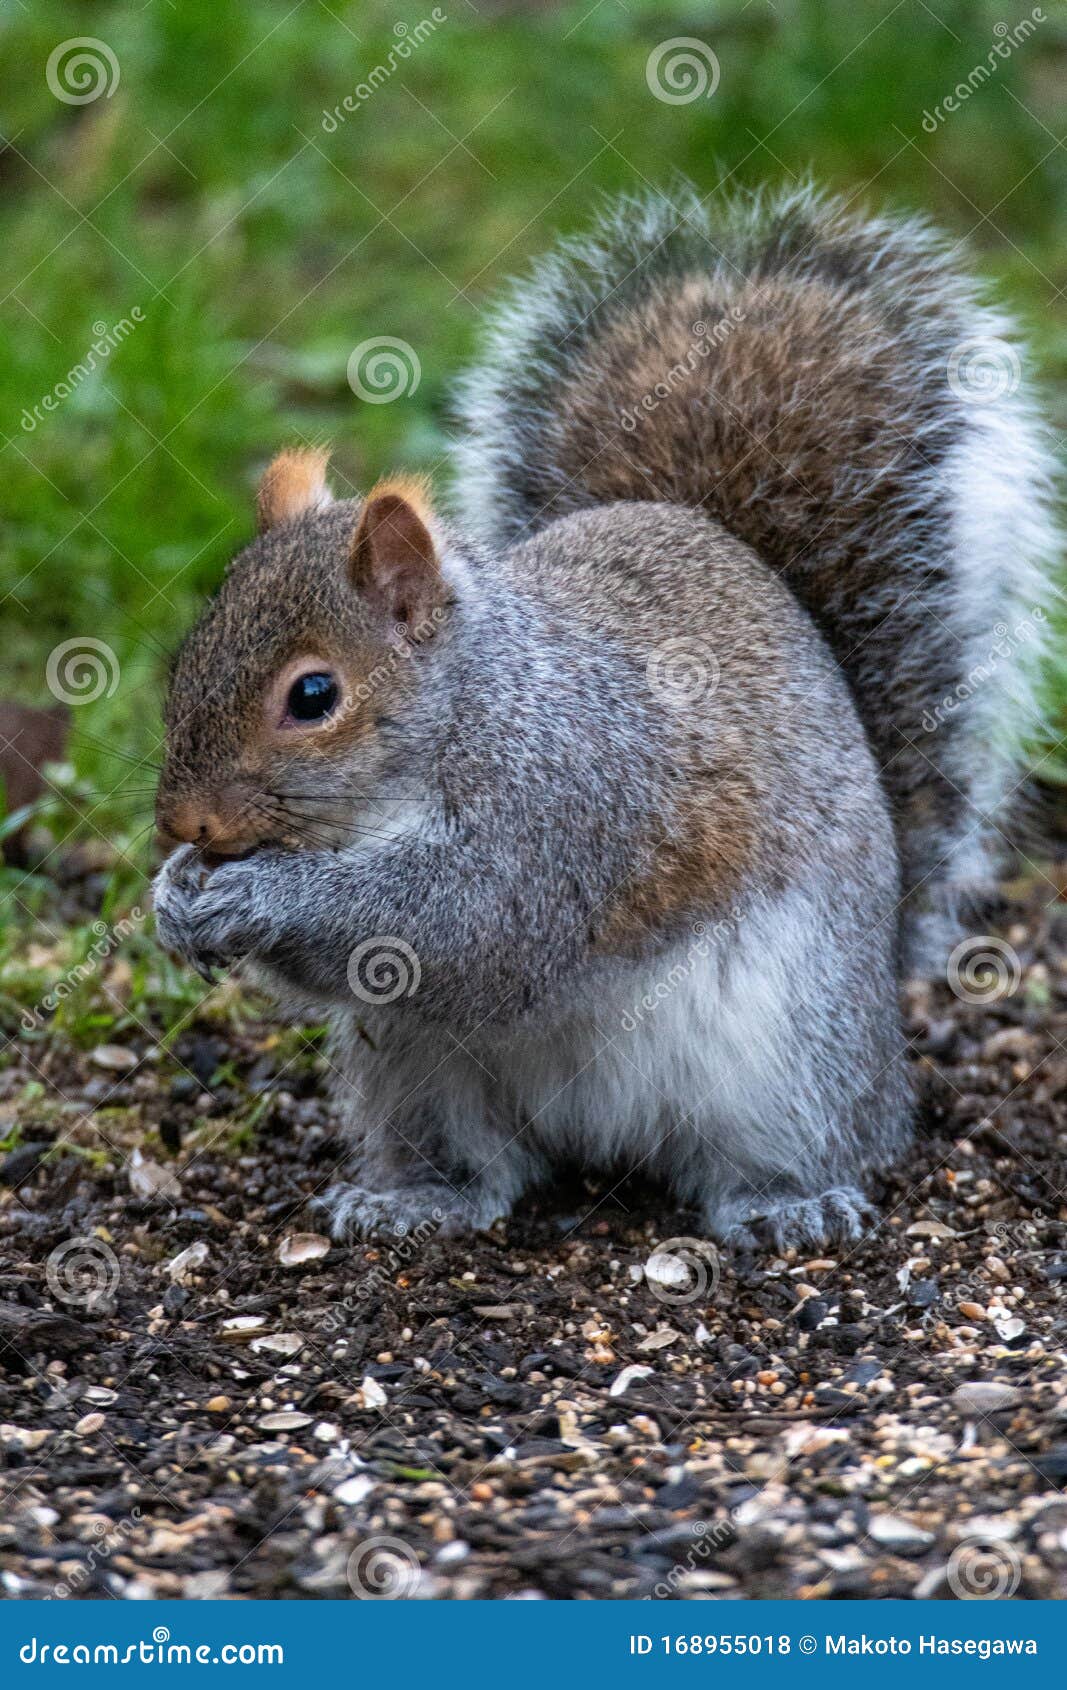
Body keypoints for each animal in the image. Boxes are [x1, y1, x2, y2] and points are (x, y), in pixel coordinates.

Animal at [153, 183, 1057, 1251]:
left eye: (312, 696)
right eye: (187, 651)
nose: (182, 822)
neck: (474, 708)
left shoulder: (568, 805)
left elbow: (455, 927)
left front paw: (255, 899)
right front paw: (172, 896)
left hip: (792, 1050)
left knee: (802, 1140)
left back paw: (787, 1201)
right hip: (414, 1070)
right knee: (481, 1165)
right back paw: (416, 1197)